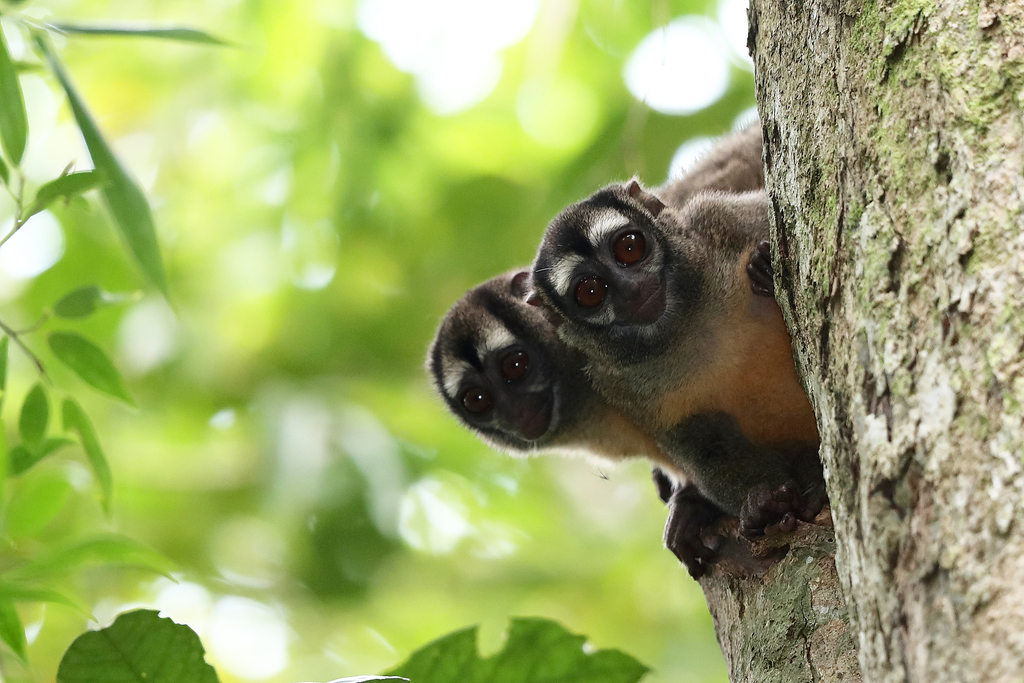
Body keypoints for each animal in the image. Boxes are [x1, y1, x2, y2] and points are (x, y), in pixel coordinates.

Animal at [531, 182, 825, 548]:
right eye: (590, 291)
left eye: (629, 247)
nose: (631, 289)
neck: (683, 326)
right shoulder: (621, 388)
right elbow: (705, 445)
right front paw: (765, 504)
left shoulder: (721, 220)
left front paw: (765, 271)